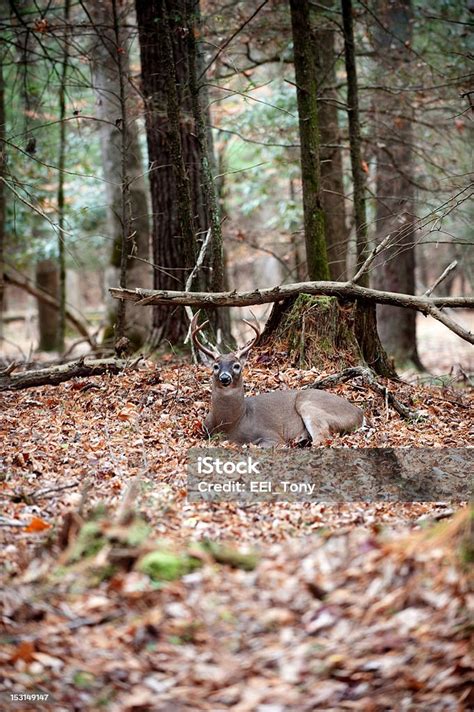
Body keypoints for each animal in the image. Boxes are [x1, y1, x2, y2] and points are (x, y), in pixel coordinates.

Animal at [191, 312, 364, 448]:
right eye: (215, 366)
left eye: (236, 366)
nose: (225, 378)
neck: (232, 423)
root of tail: (360, 413)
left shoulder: (271, 435)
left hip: (310, 405)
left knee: (322, 439)